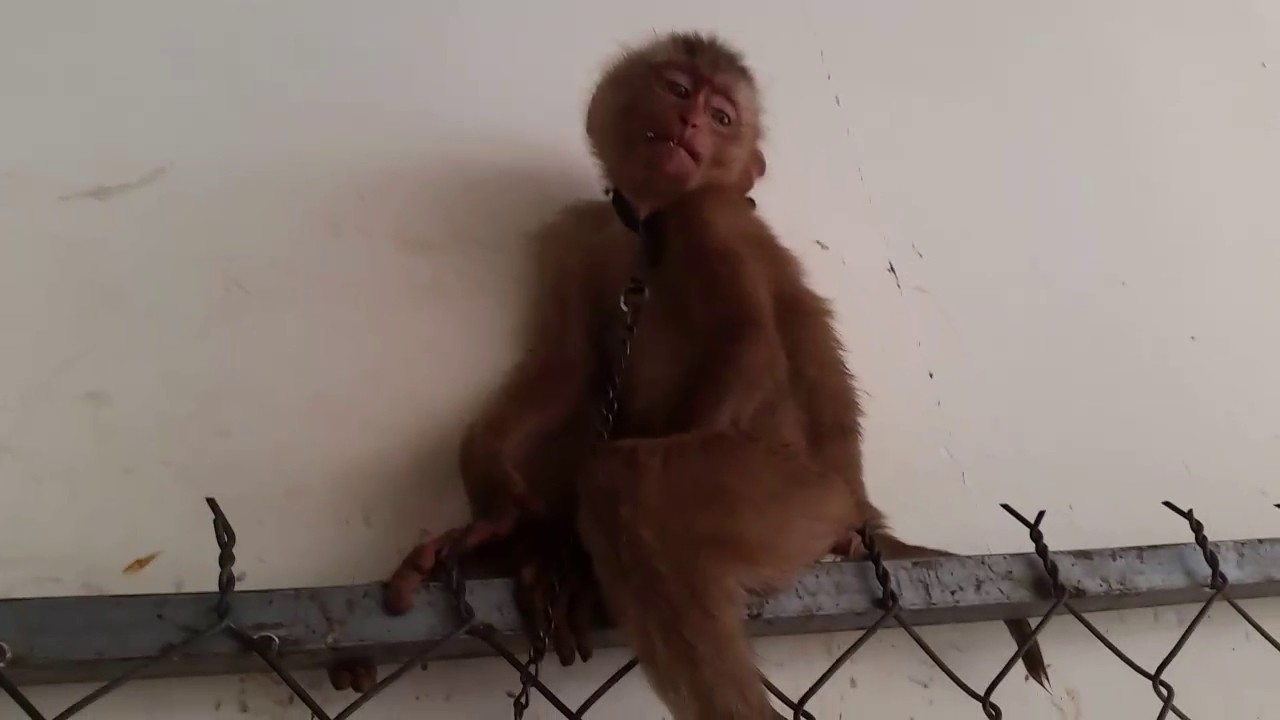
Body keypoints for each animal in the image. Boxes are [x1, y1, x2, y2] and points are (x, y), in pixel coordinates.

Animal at [373, 31, 1049, 716]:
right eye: (677, 89)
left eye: (722, 117)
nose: (692, 122)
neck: (647, 220)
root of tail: (862, 508)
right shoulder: (578, 232)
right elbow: (564, 367)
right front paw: (495, 508)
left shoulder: (711, 212)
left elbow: (745, 344)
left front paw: (572, 562)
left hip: (804, 505)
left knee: (632, 481)